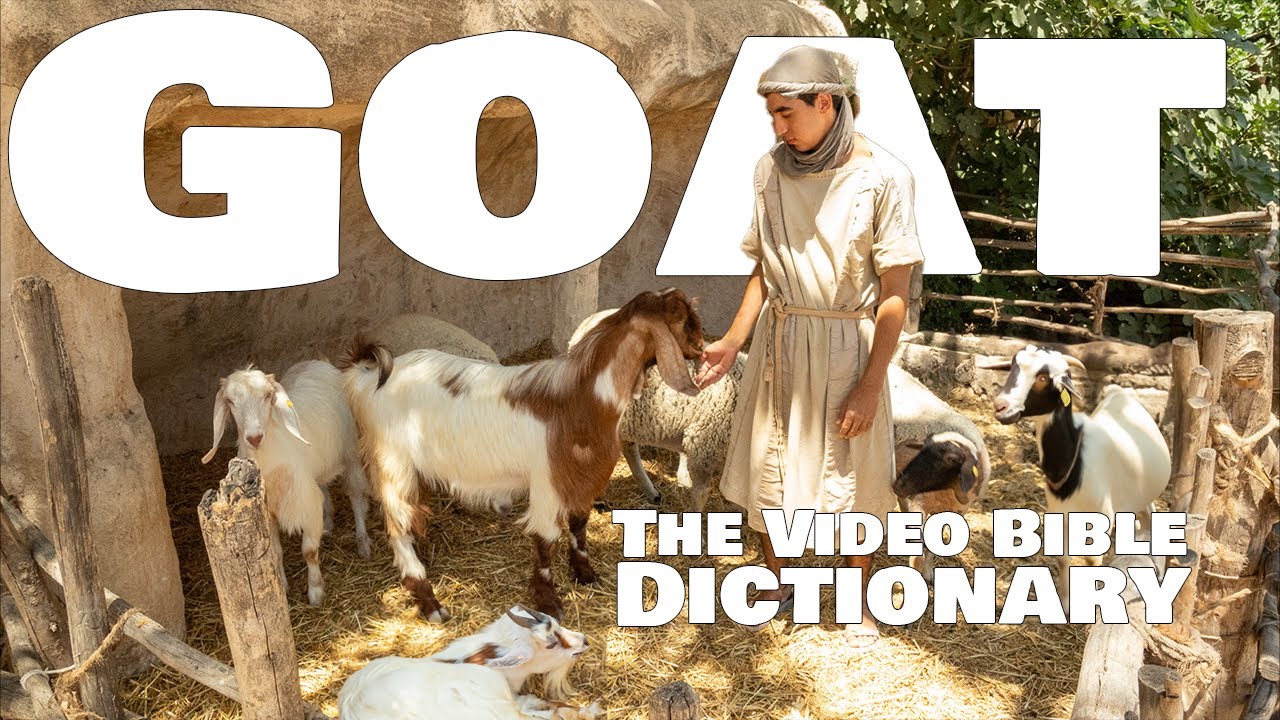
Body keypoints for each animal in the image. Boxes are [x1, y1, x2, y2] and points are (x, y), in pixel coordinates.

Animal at [201, 360, 371, 605]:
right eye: (230, 401)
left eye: (268, 395)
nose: (254, 438)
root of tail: (317, 362)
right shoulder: (267, 511)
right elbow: (276, 552)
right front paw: (282, 586)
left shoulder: (305, 503)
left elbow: (309, 551)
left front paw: (316, 592)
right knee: (323, 487)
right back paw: (328, 523)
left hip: (351, 452)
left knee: (357, 496)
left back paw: (363, 542)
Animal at [341, 288, 703, 621]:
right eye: (683, 318)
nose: (702, 347)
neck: (580, 397)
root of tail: (368, 374)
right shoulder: (548, 483)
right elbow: (545, 542)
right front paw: (549, 604)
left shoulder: (582, 479)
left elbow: (579, 526)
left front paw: (584, 574)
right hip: (393, 464)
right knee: (398, 527)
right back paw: (430, 603)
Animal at [888, 365, 991, 581]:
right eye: (922, 449)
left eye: (951, 460)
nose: (900, 484)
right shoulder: (920, 505)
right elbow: (917, 556)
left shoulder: (957, 510)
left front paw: (928, 573)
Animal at [982, 344, 1171, 609]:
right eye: (1012, 367)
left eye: (1043, 378)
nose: (1001, 406)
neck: (1074, 460)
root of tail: (1119, 393)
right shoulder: (1060, 514)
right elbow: (1063, 558)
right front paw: (1065, 603)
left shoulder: (1101, 517)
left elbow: (1092, 562)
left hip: (1148, 494)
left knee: (1151, 520)